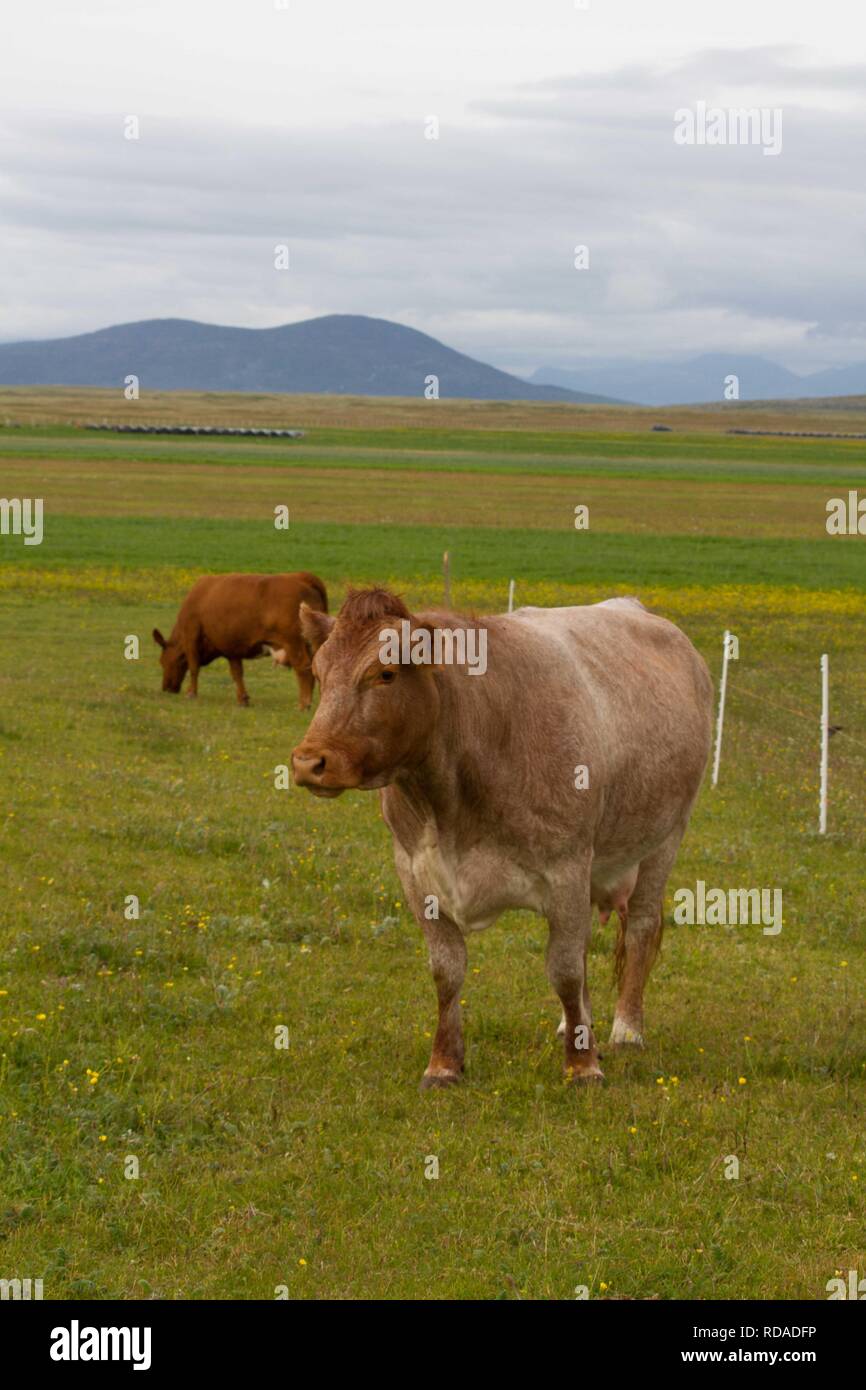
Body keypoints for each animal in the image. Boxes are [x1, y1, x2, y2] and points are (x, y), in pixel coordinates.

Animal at [153, 572, 328, 708]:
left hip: (294, 643)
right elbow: (237, 673)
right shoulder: (231, 647)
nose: (166, 688)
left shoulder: (191, 635)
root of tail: (300, 576)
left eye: (163, 662)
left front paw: (191, 693)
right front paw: (243, 699)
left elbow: (194, 667)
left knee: (304, 668)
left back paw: (304, 704)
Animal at [291, 587, 713, 1090]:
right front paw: (444, 1063)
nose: (309, 762)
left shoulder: (566, 866)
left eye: (385, 673)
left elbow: (564, 969)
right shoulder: (414, 873)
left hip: (664, 838)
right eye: (319, 674)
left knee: (642, 928)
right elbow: (447, 971)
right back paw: (576, 1023)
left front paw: (582, 1066)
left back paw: (626, 1029)